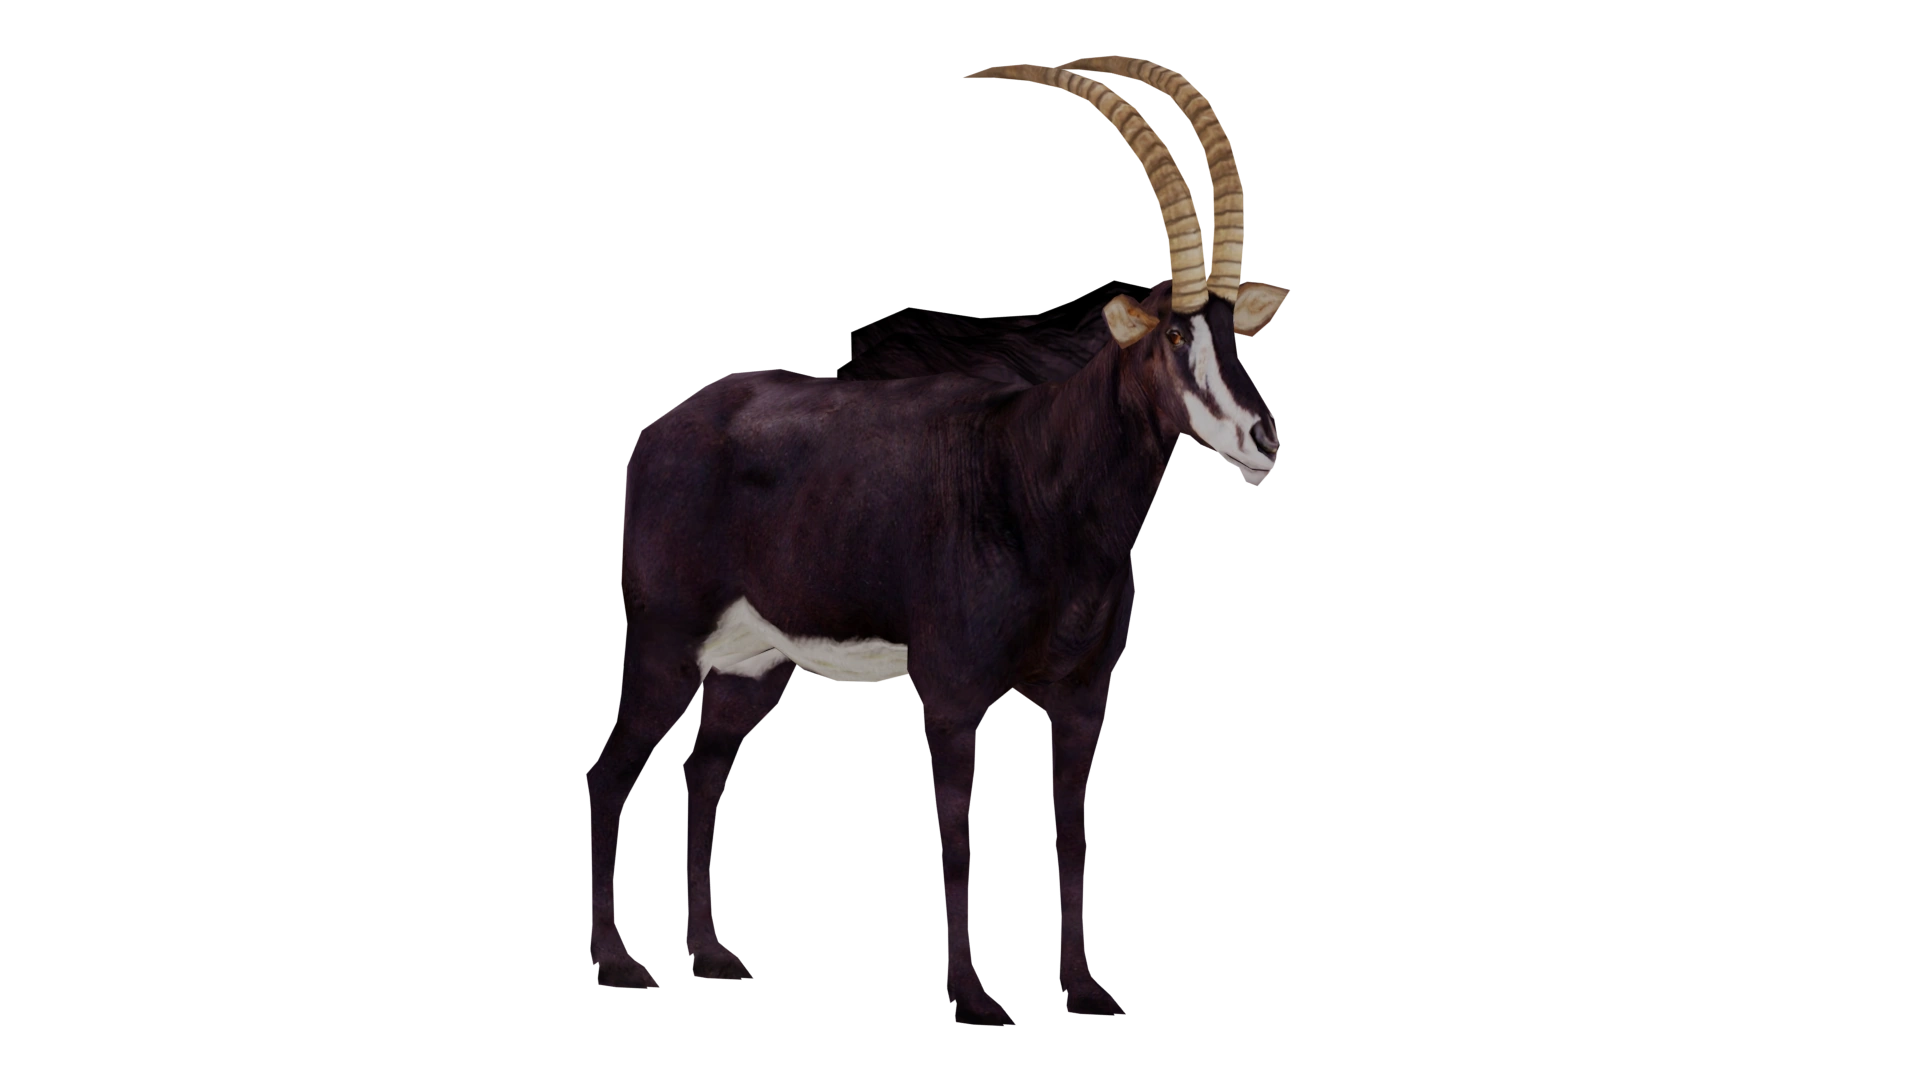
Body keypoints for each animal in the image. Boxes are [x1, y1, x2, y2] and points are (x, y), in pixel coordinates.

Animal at [595, 55, 1290, 1029]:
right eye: (1175, 332)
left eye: (1235, 331)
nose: (1262, 437)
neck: (1035, 484)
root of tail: (659, 432)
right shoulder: (953, 696)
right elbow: (959, 842)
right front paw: (975, 1001)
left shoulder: (1081, 700)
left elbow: (1072, 836)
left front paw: (1084, 992)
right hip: (664, 644)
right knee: (611, 769)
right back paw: (617, 963)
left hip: (752, 665)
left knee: (704, 770)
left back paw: (713, 957)